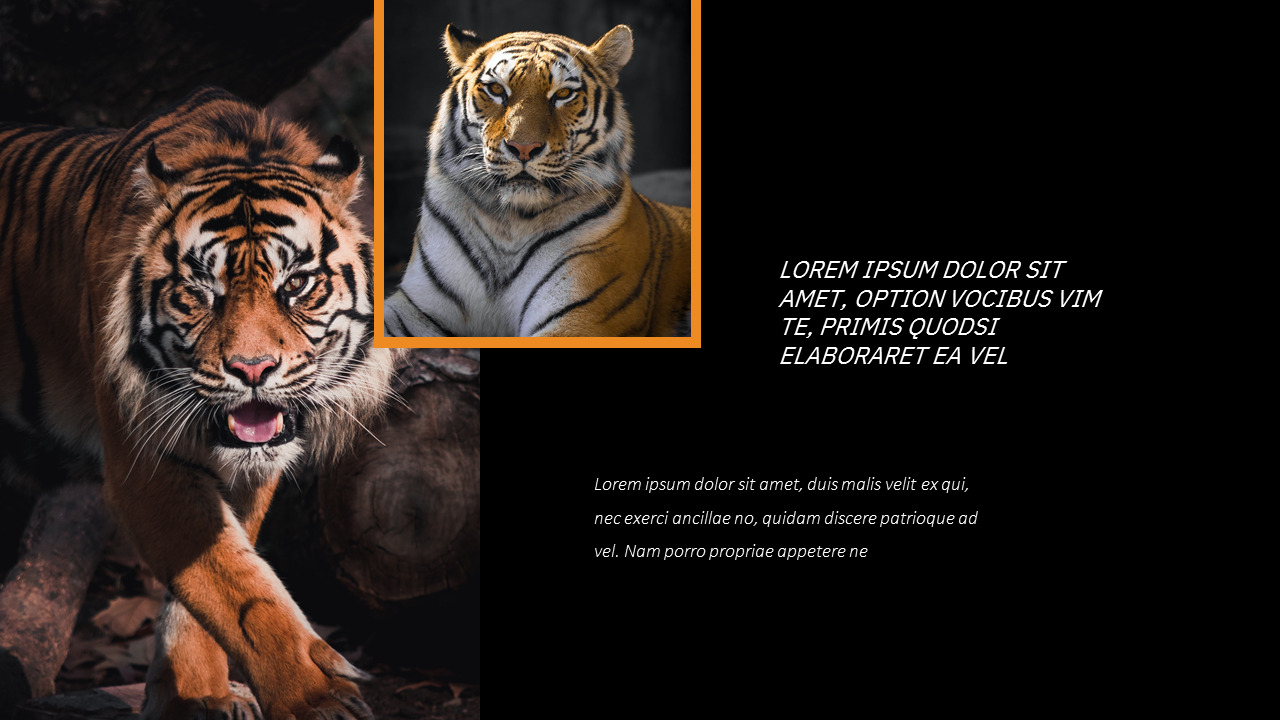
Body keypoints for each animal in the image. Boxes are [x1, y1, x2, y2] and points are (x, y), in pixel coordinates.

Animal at [0, 86, 394, 720]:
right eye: (200, 292)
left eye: (296, 286)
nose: (252, 370)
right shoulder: (144, 463)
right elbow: (235, 587)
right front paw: (314, 695)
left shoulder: (245, 474)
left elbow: (219, 575)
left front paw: (197, 693)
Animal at [383, 24, 692, 337]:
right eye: (497, 90)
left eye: (563, 94)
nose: (523, 148)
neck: (507, 225)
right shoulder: (416, 307)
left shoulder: (580, 315)